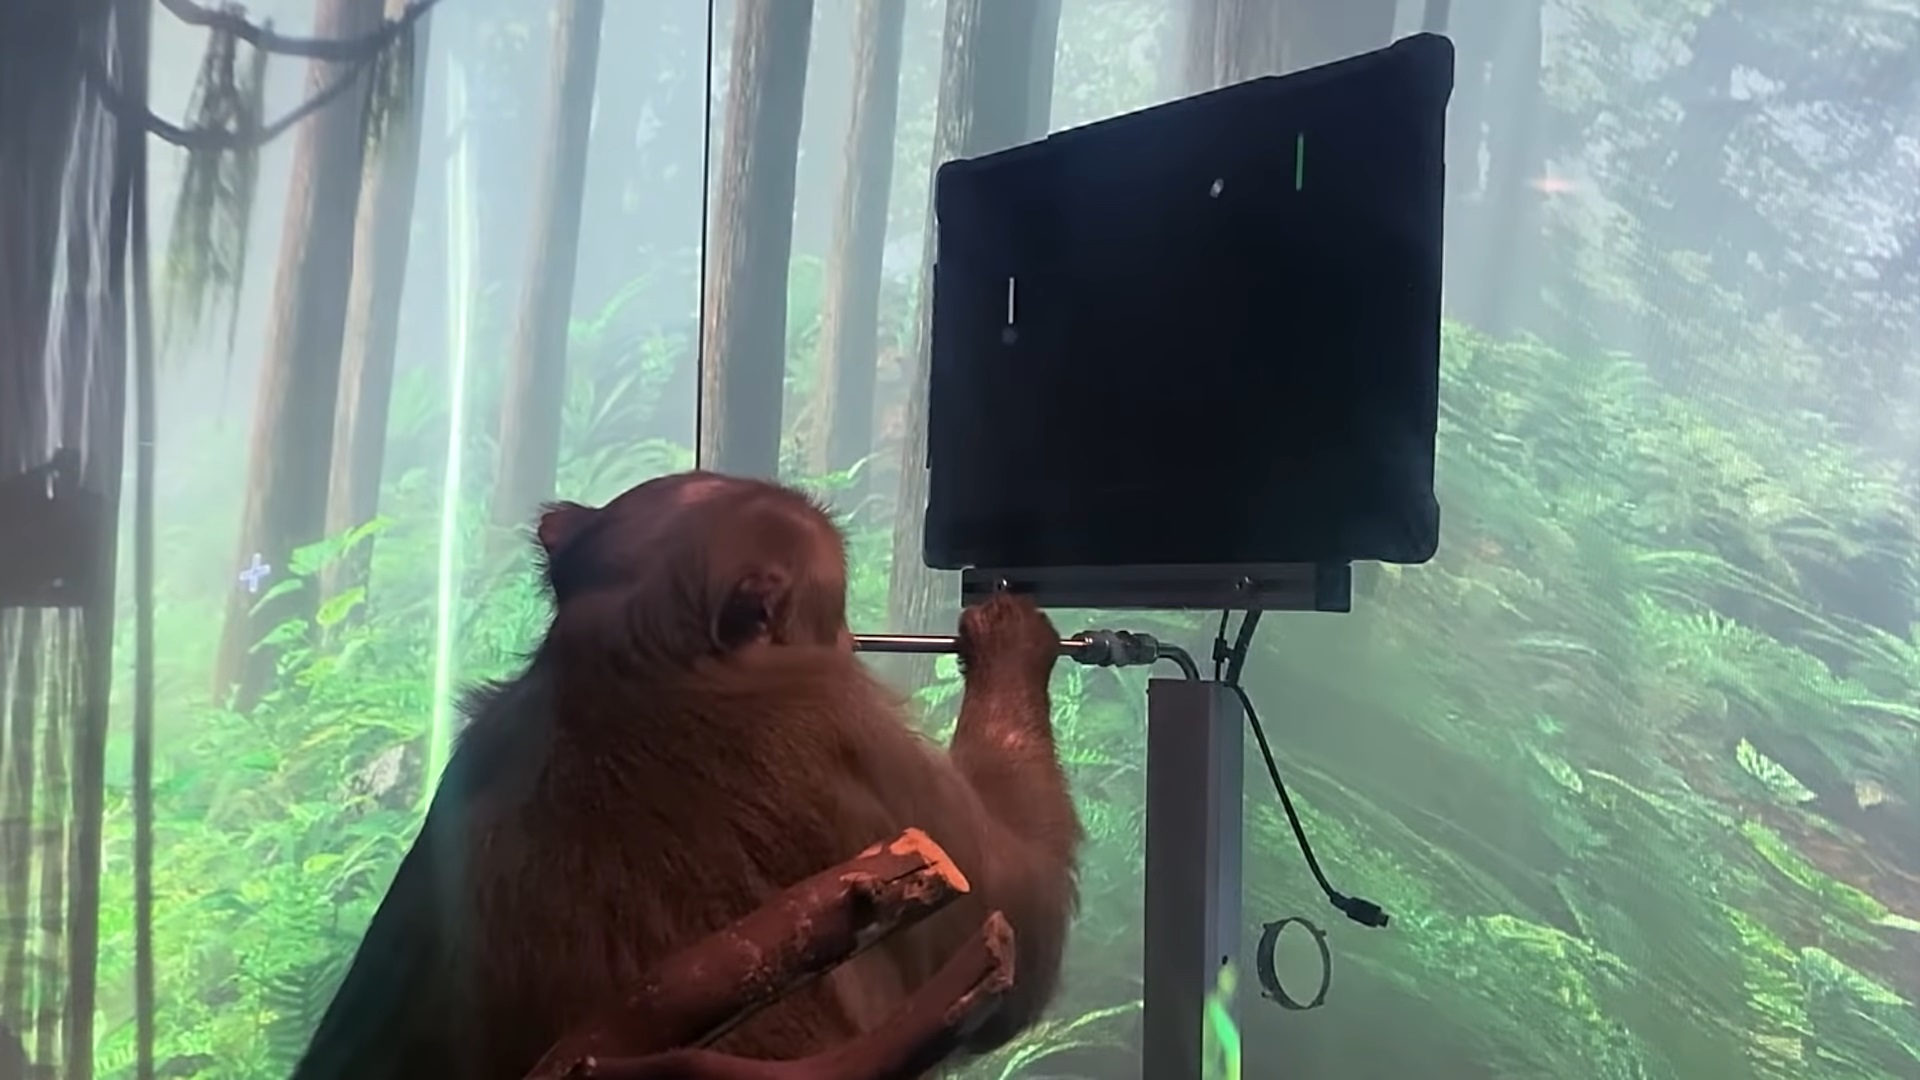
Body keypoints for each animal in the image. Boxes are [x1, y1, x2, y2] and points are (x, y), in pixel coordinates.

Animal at [292, 471, 1083, 1080]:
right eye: (831, 614)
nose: (850, 637)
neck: (630, 654)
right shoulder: (851, 738)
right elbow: (1020, 911)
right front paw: (1012, 643)